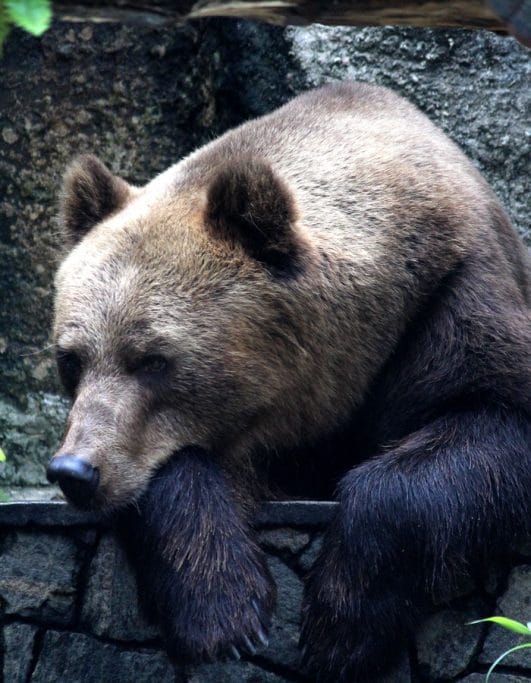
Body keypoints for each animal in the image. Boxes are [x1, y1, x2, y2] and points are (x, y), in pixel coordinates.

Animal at [47, 82, 531, 681]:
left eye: (154, 359)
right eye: (71, 359)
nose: (74, 470)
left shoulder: (454, 294)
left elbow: (487, 419)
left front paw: (340, 625)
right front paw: (226, 611)